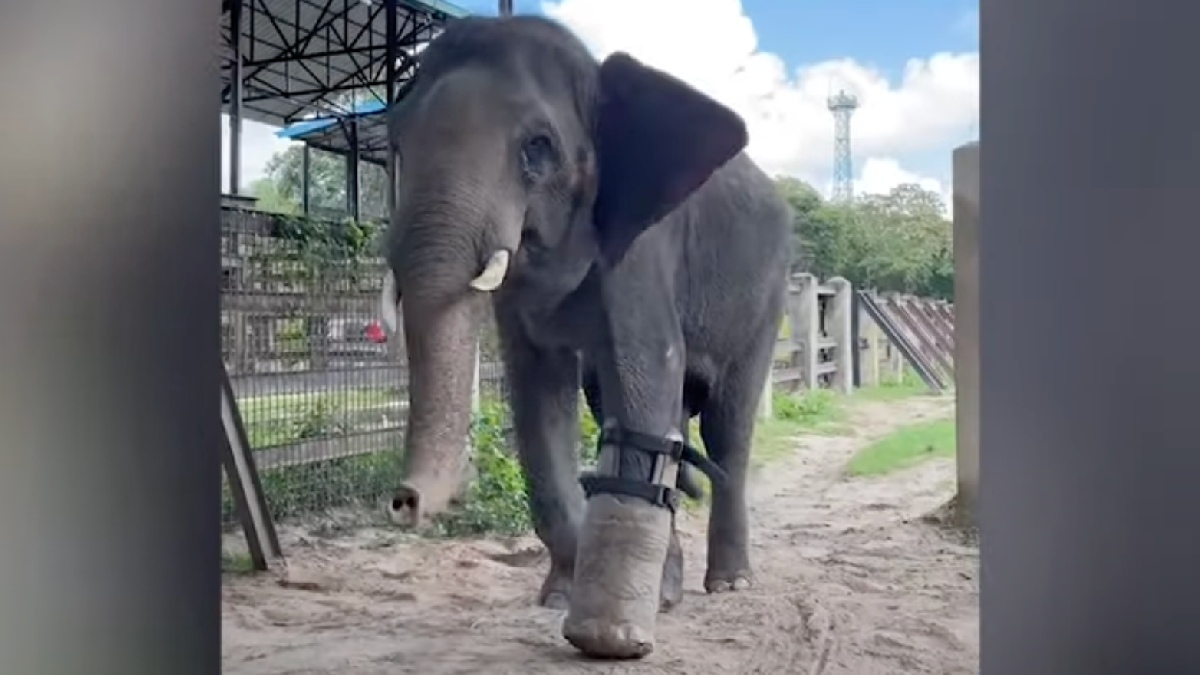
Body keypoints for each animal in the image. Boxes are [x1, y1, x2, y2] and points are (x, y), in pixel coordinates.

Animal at [377, 15, 792, 660]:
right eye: (396, 145)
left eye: (538, 147)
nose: (404, 502)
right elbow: (538, 401)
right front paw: (558, 600)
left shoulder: (644, 247)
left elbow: (649, 371)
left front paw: (611, 635)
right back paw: (671, 588)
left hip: (766, 295)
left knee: (728, 426)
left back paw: (730, 584)